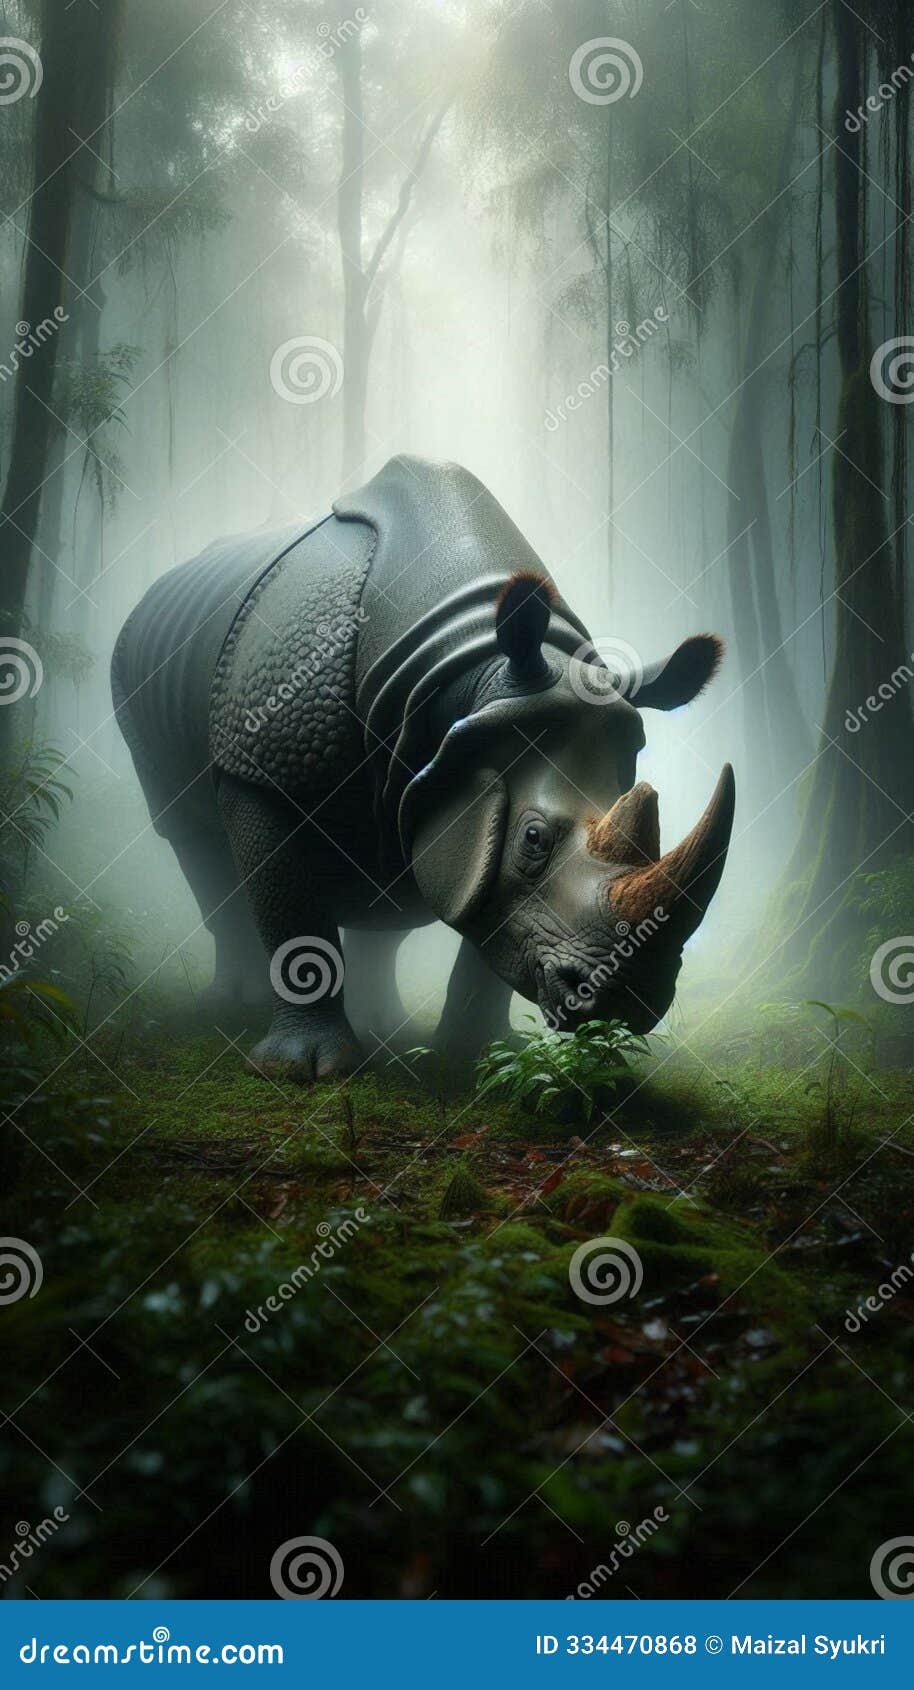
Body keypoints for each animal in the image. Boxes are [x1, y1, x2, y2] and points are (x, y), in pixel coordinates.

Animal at [112, 456, 734, 1080]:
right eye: (533, 839)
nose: (635, 996)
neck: (465, 668)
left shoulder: (474, 760)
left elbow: (492, 920)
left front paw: (480, 1058)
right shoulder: (264, 757)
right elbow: (289, 906)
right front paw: (304, 1071)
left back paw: (383, 1022)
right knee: (190, 838)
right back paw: (229, 1008)